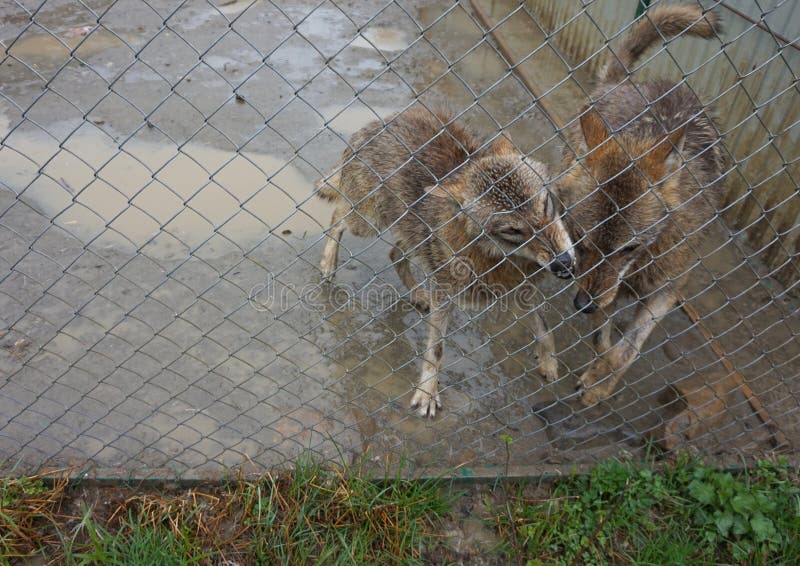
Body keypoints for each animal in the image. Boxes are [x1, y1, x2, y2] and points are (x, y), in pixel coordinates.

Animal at [317, 107, 575, 417]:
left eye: (545, 205)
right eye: (512, 230)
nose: (564, 263)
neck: (498, 258)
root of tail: (374, 124)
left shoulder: (522, 287)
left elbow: (545, 329)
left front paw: (549, 362)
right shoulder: (445, 294)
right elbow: (436, 350)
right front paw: (427, 393)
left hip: (413, 234)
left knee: (395, 254)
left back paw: (418, 295)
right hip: (367, 222)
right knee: (338, 215)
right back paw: (328, 263)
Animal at [555, 4, 726, 405]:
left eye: (629, 248)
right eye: (582, 241)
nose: (581, 305)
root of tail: (623, 83)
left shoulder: (667, 289)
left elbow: (626, 350)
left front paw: (601, 382)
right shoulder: (602, 288)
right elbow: (603, 335)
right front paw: (597, 366)